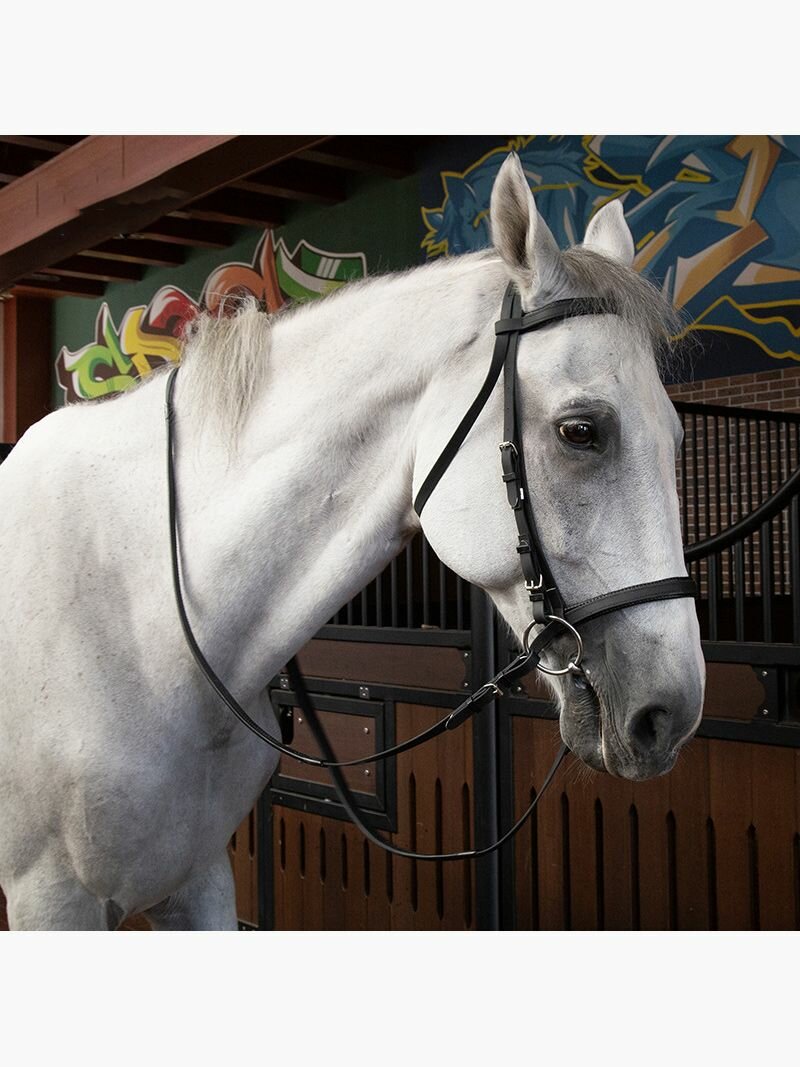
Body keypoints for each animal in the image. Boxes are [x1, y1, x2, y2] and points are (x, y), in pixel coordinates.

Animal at [0, 154, 705, 929]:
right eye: (582, 430)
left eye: (677, 438)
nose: (670, 715)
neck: (142, 616)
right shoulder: (51, 898)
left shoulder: (197, 879)